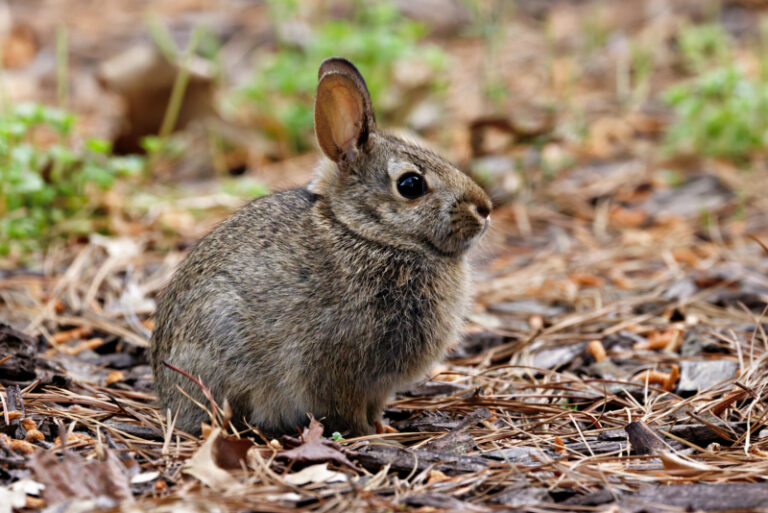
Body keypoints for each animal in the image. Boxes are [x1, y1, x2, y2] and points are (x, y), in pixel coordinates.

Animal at [150, 57, 492, 436]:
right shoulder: (338, 364)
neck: (370, 234)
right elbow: (346, 409)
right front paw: (369, 435)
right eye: (410, 185)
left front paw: (383, 429)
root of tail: (167, 399)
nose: (485, 208)